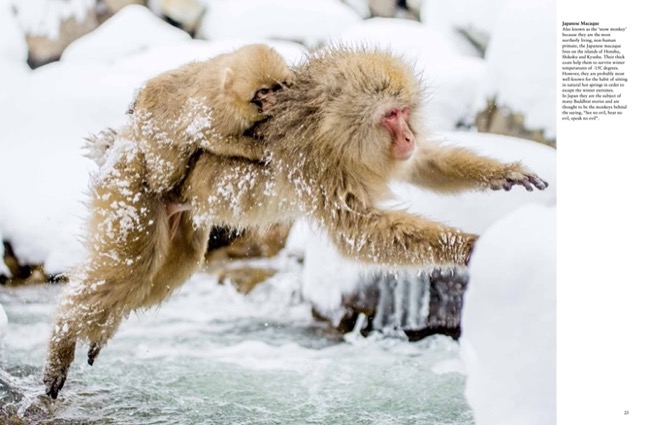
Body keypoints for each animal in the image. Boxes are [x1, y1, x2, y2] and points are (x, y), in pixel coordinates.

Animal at [44, 47, 547, 399]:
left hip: (175, 213)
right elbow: (358, 234)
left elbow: (423, 164)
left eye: (405, 114)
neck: (331, 131)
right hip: (131, 187)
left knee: (165, 272)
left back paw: (99, 333)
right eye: (390, 116)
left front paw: (504, 174)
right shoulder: (317, 170)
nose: (407, 135)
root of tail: (120, 142)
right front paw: (471, 246)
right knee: (125, 269)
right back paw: (64, 338)